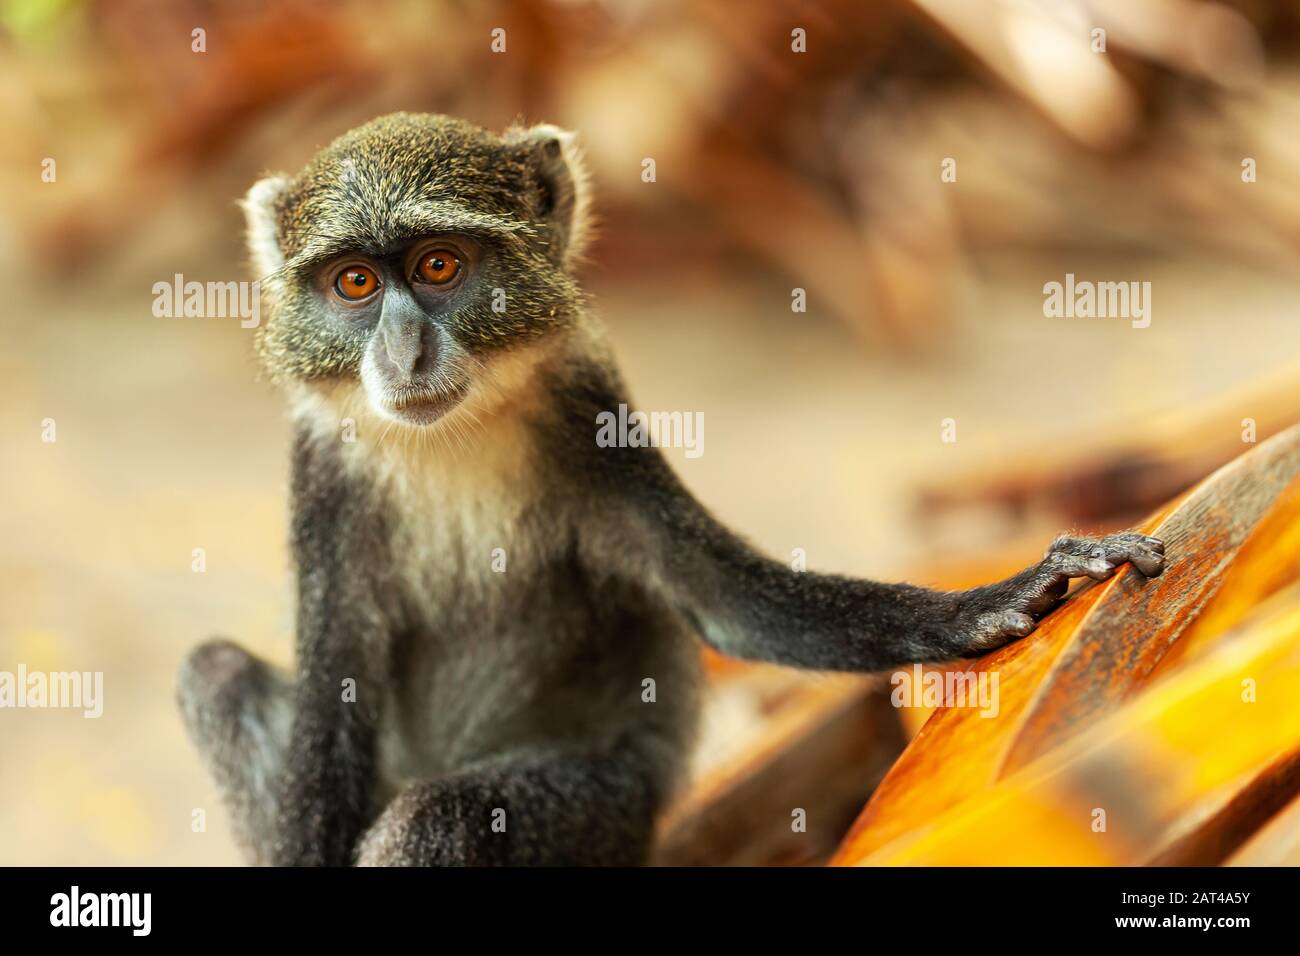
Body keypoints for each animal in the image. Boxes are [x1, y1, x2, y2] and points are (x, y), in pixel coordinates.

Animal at [176, 112, 1165, 867]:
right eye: (354, 282)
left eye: (439, 268)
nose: (405, 353)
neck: (456, 432)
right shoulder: (325, 474)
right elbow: (333, 687)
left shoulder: (593, 417)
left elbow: (727, 598)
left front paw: (997, 599)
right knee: (215, 672)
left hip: (608, 805)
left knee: (434, 814)